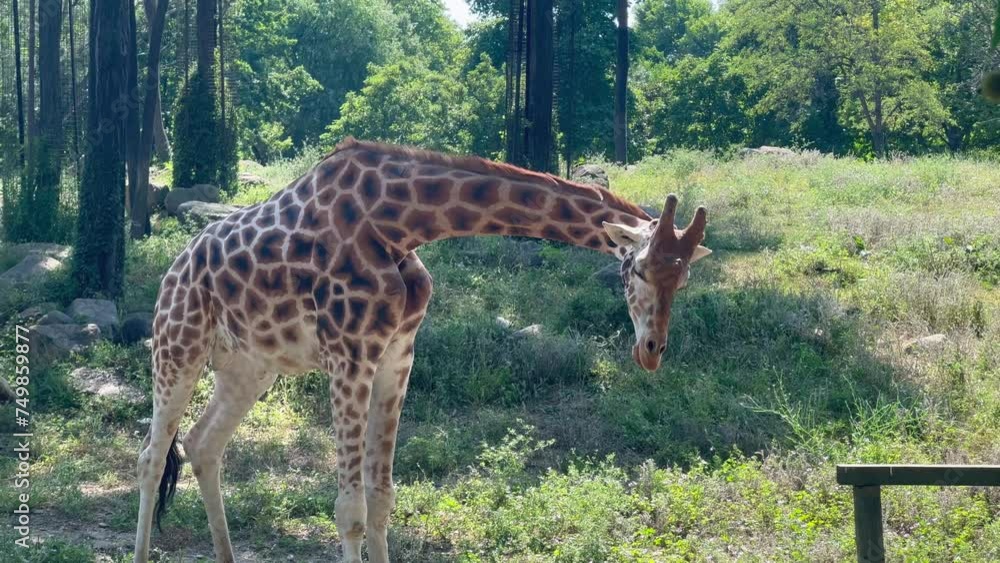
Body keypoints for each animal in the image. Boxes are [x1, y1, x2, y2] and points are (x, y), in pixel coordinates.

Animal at [133, 138, 711, 563]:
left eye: (683, 279)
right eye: (639, 270)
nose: (652, 350)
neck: (400, 226)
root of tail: (173, 270)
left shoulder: (397, 355)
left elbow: (382, 499)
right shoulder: (349, 356)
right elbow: (350, 509)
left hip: (249, 369)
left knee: (203, 445)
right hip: (177, 347)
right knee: (151, 457)